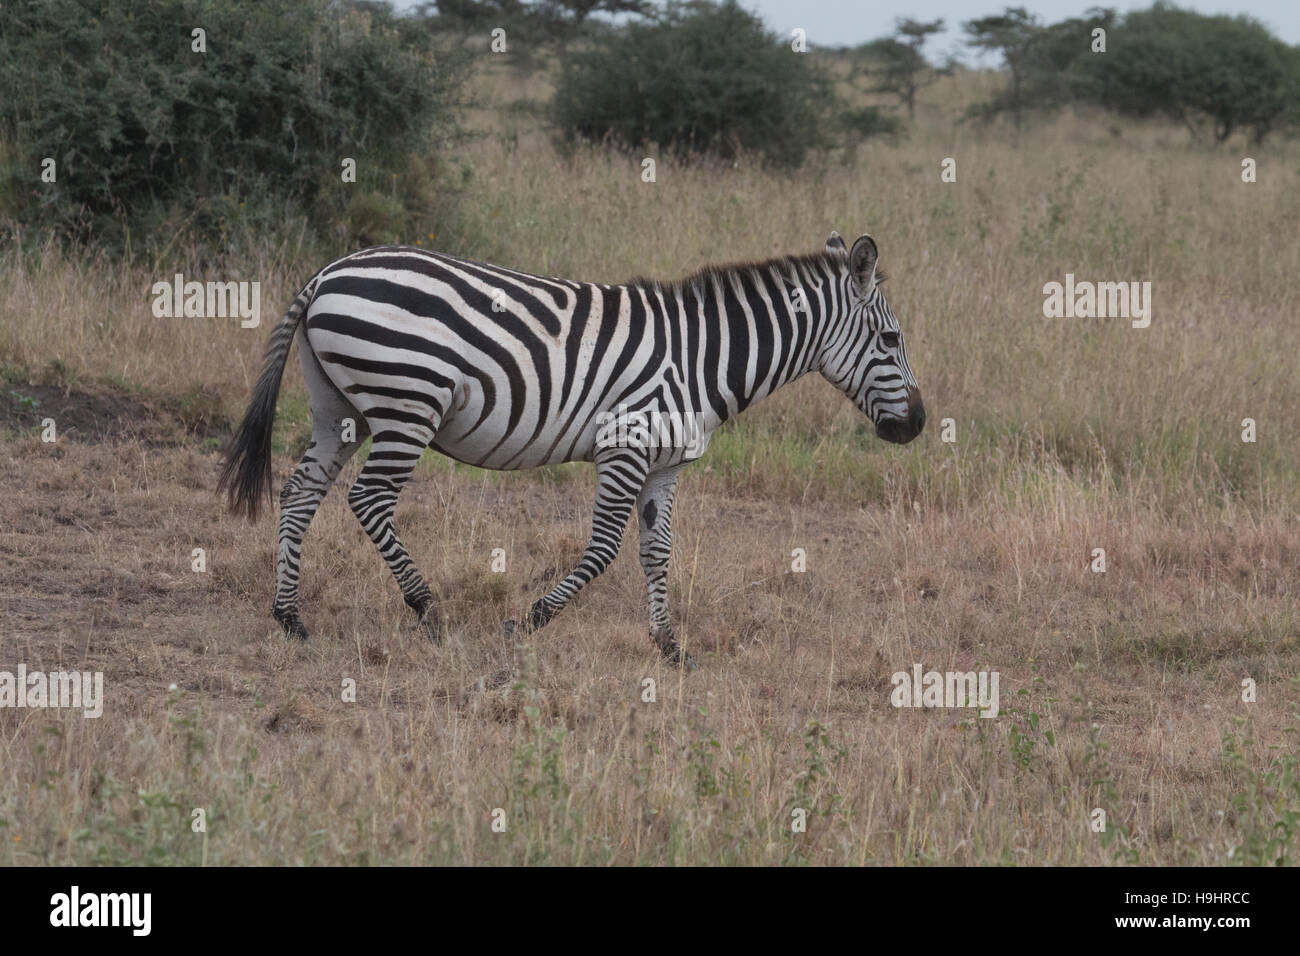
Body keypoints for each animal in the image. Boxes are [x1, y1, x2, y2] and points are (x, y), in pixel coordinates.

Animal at [218, 231, 925, 668]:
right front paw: (529, 620)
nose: (918, 425)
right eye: (891, 341)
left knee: (300, 492)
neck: (702, 358)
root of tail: (326, 273)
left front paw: (669, 647)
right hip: (407, 402)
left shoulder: (664, 464)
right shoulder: (626, 445)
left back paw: (289, 617)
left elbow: (656, 551)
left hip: (339, 408)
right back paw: (428, 609)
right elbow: (606, 546)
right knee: (369, 498)